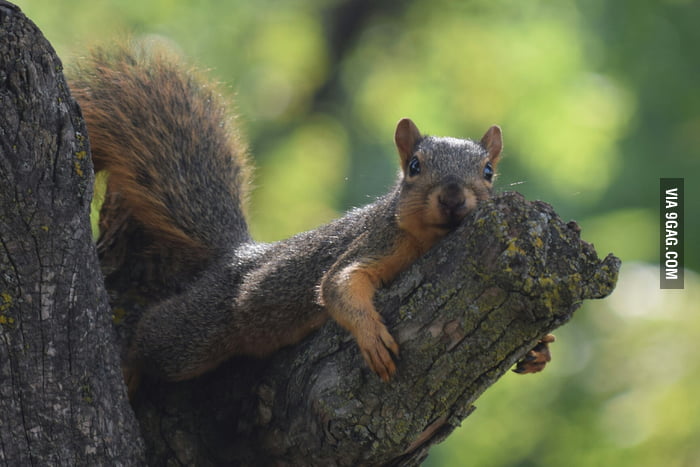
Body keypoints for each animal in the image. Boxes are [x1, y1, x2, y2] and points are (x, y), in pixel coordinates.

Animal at [70, 41, 549, 393]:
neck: (430, 239)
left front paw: (540, 349)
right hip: (197, 333)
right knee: (154, 337)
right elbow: (337, 283)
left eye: (487, 172)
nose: (452, 197)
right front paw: (371, 336)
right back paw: (130, 366)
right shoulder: (379, 240)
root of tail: (240, 256)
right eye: (414, 166)